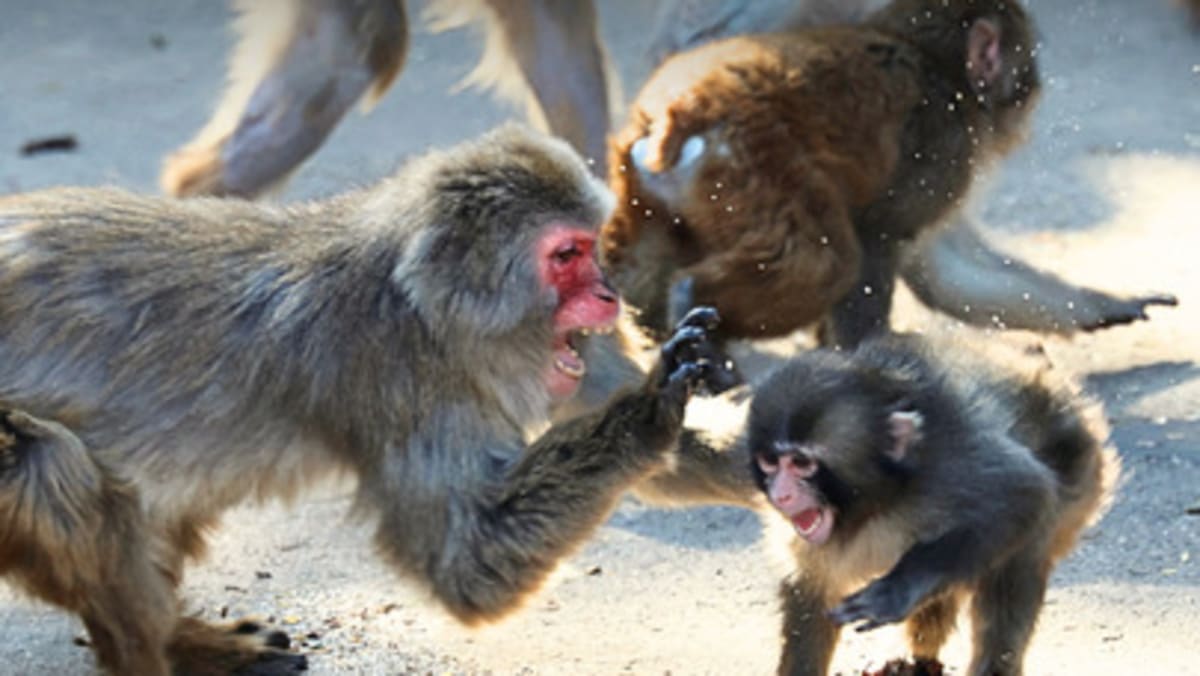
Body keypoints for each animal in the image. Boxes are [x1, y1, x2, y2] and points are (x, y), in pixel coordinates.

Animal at [0, 124, 735, 675]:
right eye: (566, 256)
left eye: (591, 249)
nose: (608, 294)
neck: (429, 311)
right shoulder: (401, 380)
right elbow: (469, 565)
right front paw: (651, 410)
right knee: (49, 463)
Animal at [602, 0, 1176, 346]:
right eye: (1024, 69)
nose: (1032, 90)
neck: (935, 65)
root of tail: (672, 112)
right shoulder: (944, 147)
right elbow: (878, 237)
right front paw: (866, 358)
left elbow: (943, 272)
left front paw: (1105, 306)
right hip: (748, 168)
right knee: (827, 262)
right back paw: (692, 306)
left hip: (649, 190)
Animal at [745, 333, 1119, 675]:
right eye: (770, 462)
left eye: (801, 463)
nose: (781, 494)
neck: (874, 504)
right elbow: (810, 591)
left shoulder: (948, 464)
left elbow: (1025, 493)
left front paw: (897, 590)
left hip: (1078, 469)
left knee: (1020, 554)